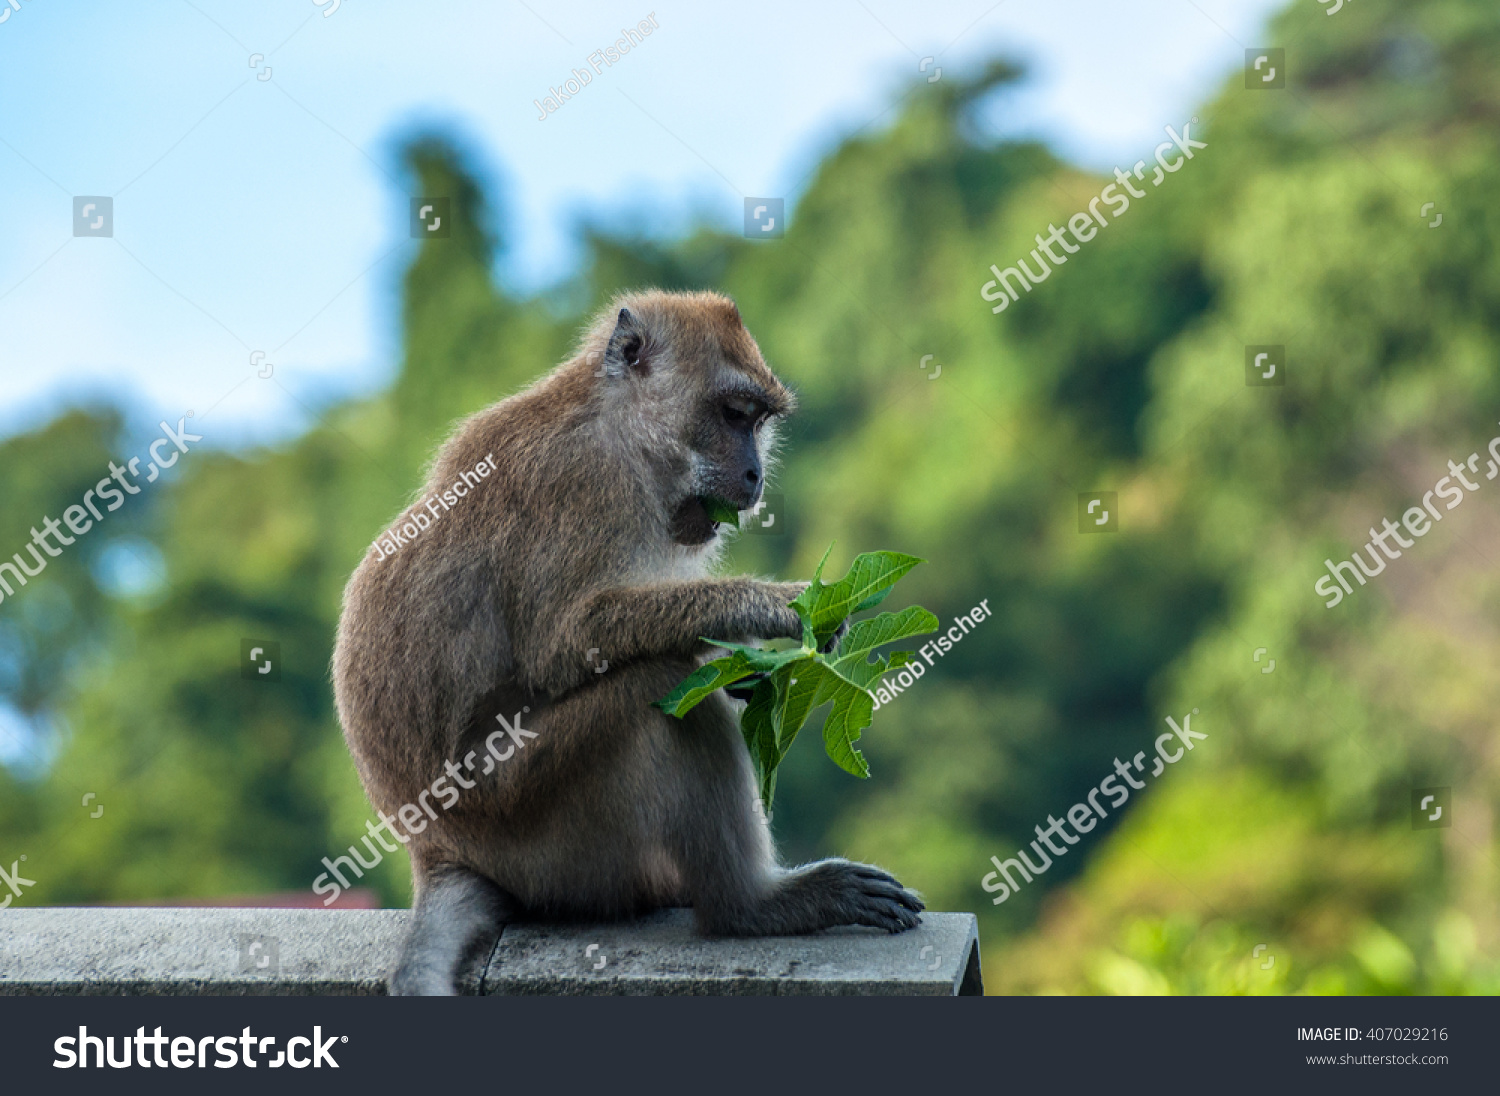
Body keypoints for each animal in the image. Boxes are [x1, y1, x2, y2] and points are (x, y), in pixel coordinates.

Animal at [332, 289, 924, 996]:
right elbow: (561, 642)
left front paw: (750, 665)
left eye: (758, 422)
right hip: (532, 820)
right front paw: (769, 609)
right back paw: (750, 907)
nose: (755, 475)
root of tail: (437, 852)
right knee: (657, 683)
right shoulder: (583, 482)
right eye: (733, 414)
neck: (622, 427)